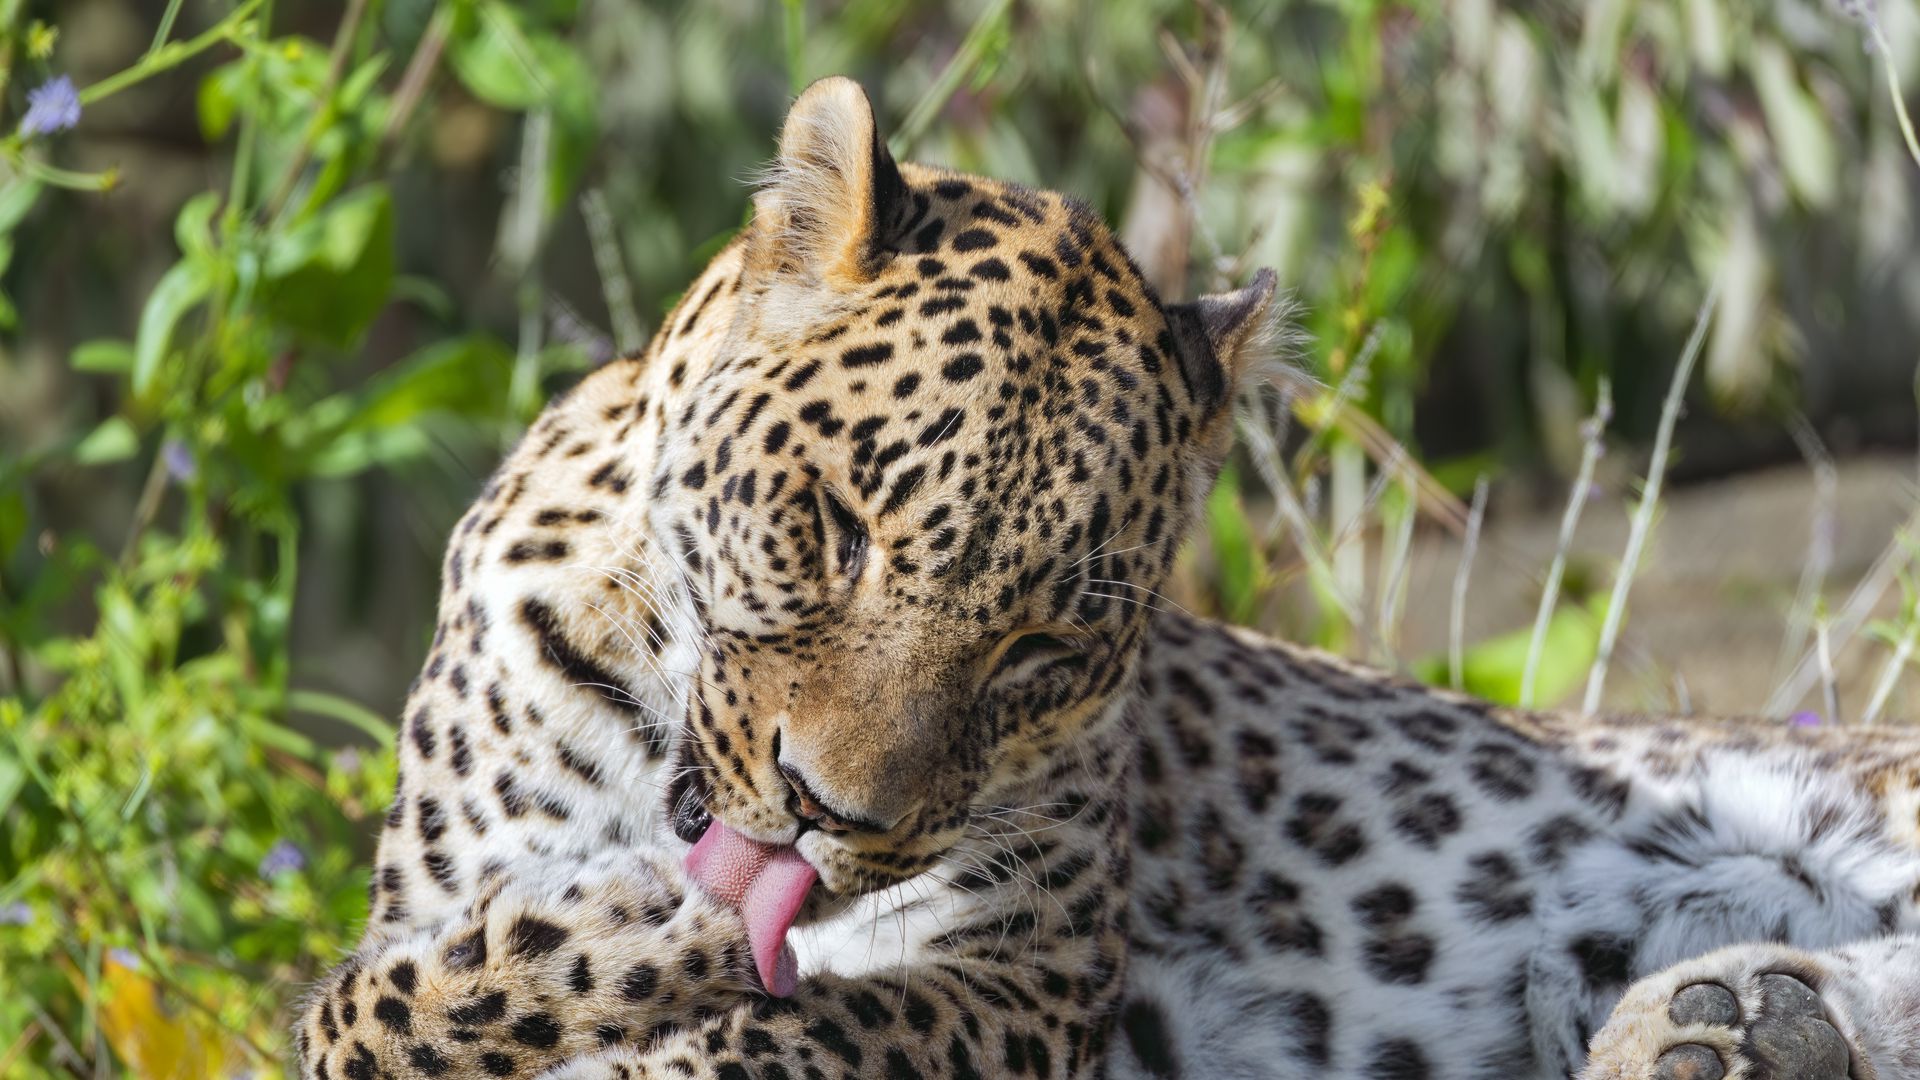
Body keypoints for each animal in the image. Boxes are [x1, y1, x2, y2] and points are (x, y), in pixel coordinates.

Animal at [296, 77, 1920, 1080]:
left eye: (1039, 650)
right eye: (835, 528)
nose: (830, 818)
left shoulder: (1041, 980)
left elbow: (774, 1037)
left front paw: (657, 950)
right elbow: (362, 1013)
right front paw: (634, 933)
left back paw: (1737, 1023)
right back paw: (1740, 1022)